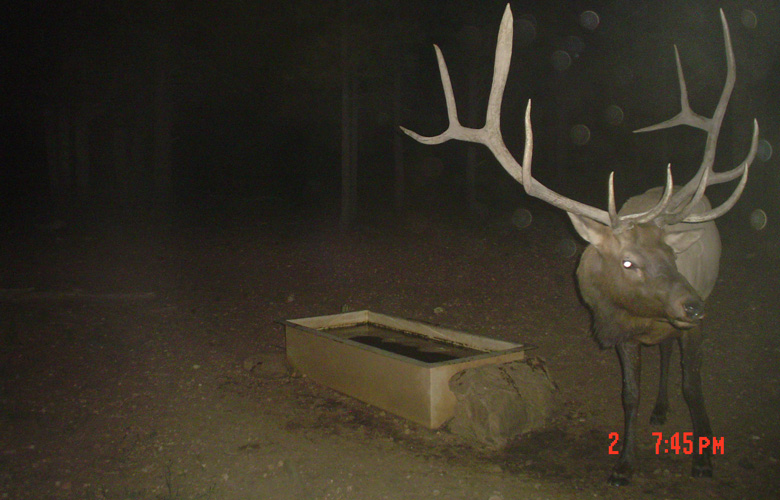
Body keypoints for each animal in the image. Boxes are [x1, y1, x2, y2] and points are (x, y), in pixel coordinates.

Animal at [401, 4, 758, 486]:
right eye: (628, 263)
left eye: (671, 254)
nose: (693, 304)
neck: (635, 314)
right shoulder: (621, 329)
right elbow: (629, 394)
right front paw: (624, 465)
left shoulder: (691, 324)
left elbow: (693, 384)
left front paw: (703, 457)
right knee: (663, 353)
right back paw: (660, 409)